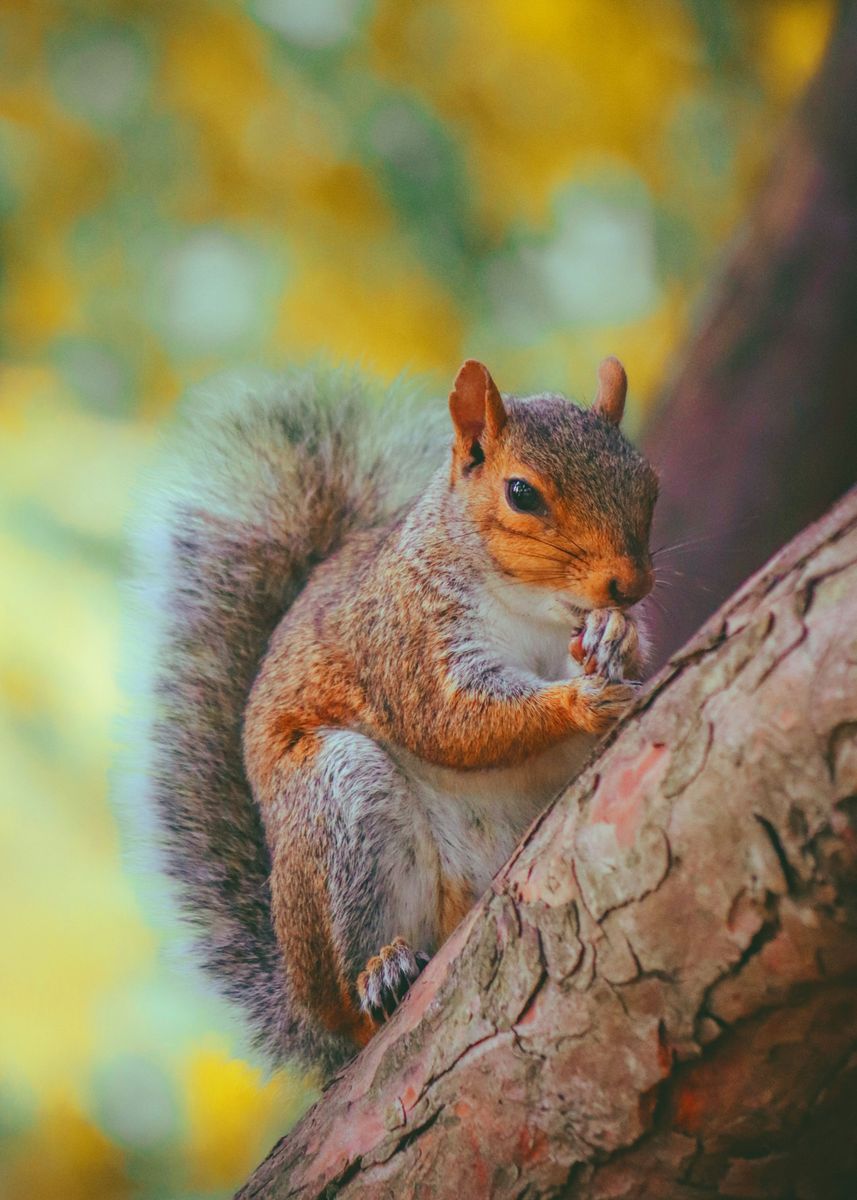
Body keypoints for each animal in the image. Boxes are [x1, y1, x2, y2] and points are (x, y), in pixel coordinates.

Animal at [138, 355, 658, 1078]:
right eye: (521, 494)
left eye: (649, 484)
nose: (629, 586)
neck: (533, 607)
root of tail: (304, 1006)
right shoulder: (404, 637)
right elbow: (448, 717)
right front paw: (576, 701)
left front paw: (617, 636)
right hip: (342, 797)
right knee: (357, 990)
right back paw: (380, 975)